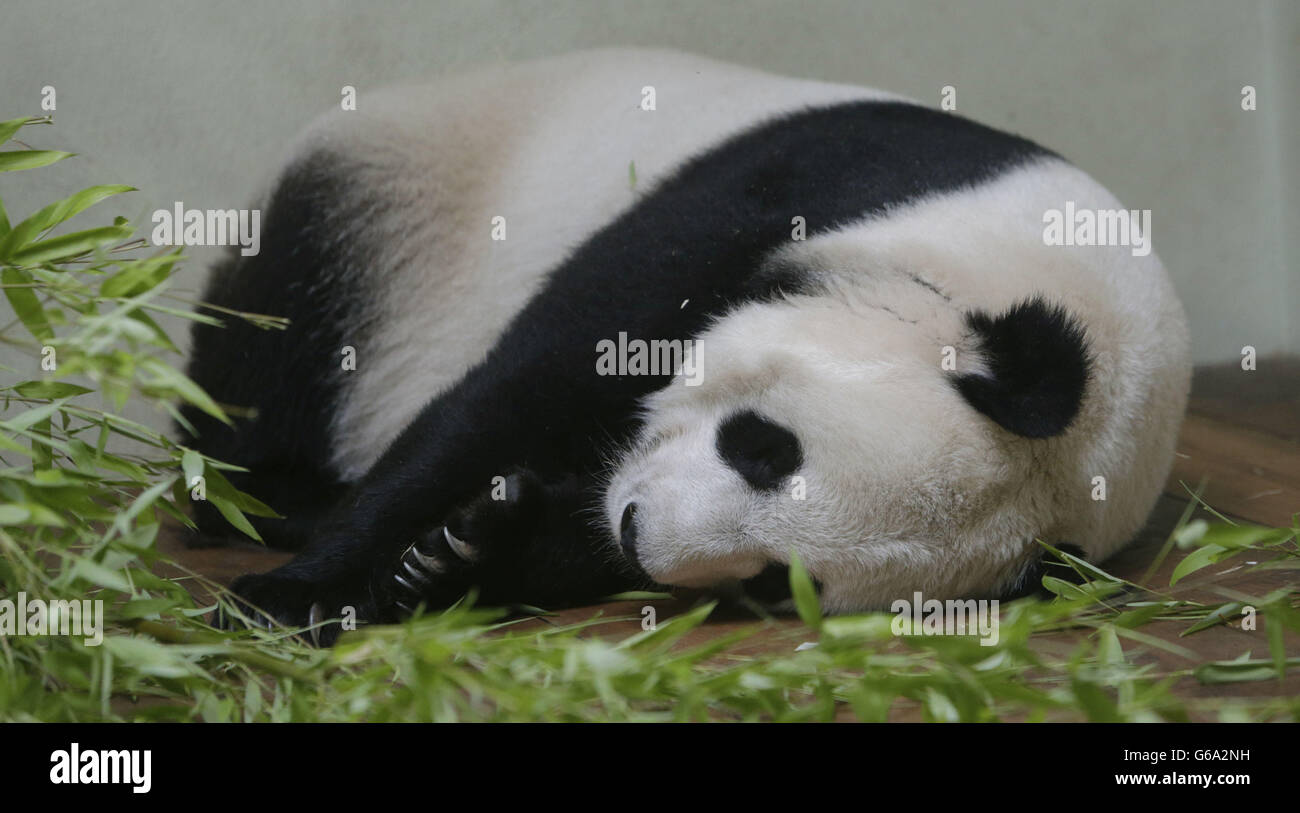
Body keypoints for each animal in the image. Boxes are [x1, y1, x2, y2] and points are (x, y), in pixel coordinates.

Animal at [183, 48, 1191, 644]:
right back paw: (280, 494)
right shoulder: (805, 191)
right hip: (387, 210)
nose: (638, 525)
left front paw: (469, 550)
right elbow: (521, 386)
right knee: (278, 340)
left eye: (782, 581)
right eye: (765, 447)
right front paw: (304, 593)